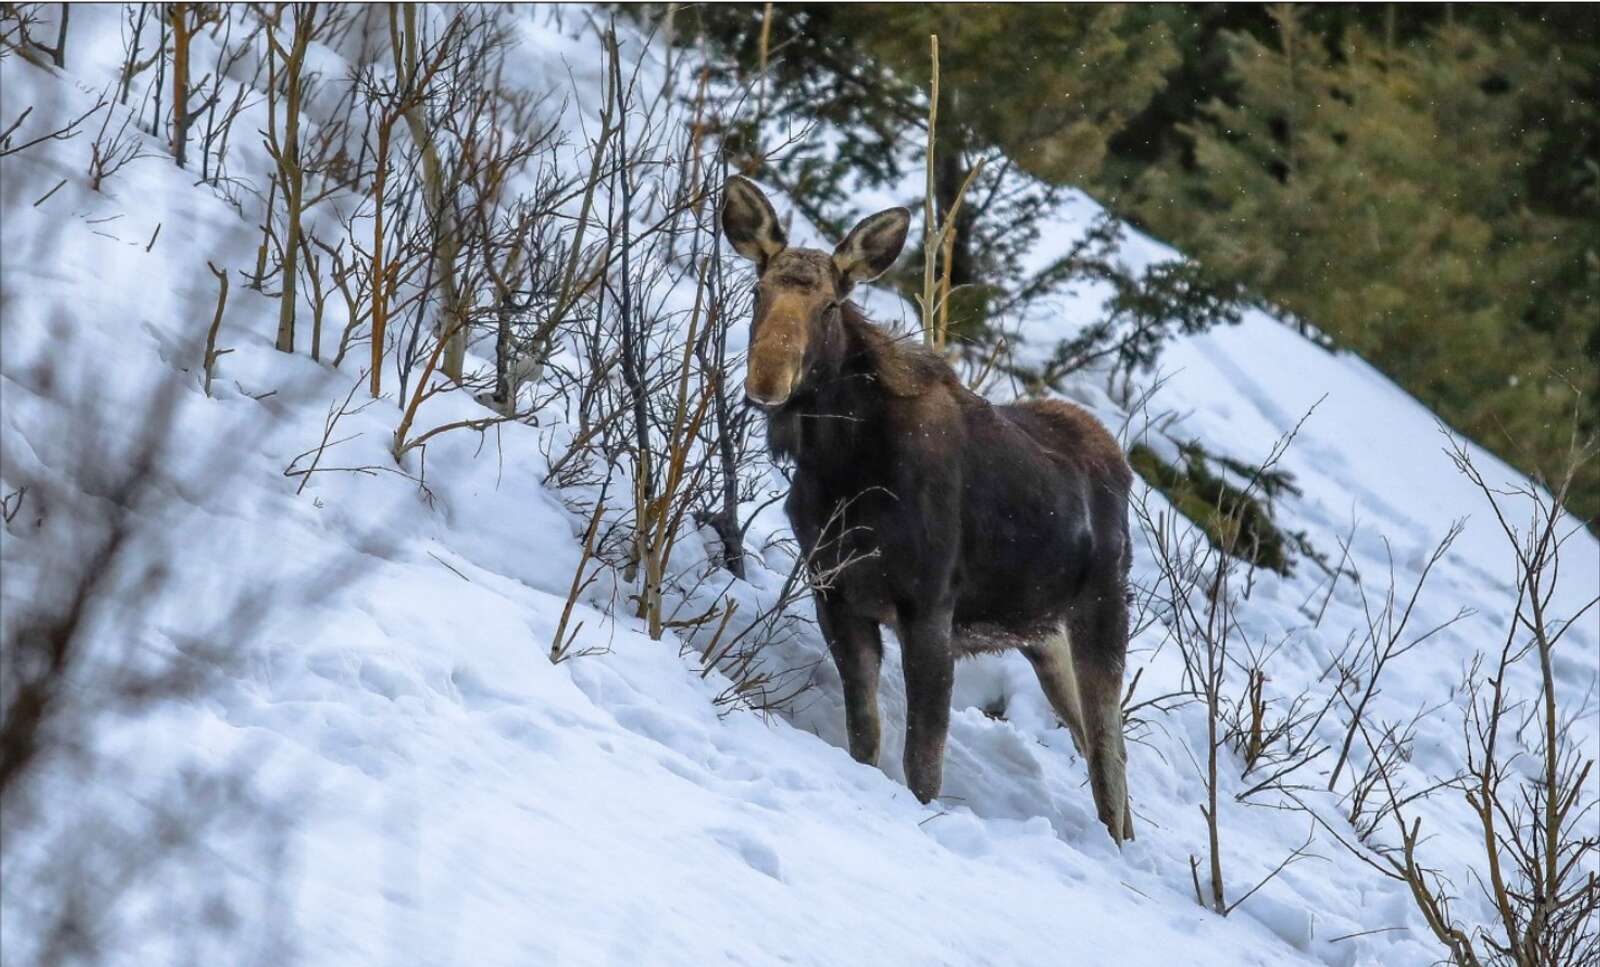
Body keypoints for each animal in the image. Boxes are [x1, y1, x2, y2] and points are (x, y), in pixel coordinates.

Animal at [720, 176, 1136, 844]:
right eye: (758, 291)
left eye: (831, 305)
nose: (766, 381)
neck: (840, 463)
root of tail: (1121, 464)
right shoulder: (835, 592)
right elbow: (865, 735)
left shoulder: (930, 607)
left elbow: (922, 764)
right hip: (1043, 635)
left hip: (1101, 613)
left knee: (1110, 758)